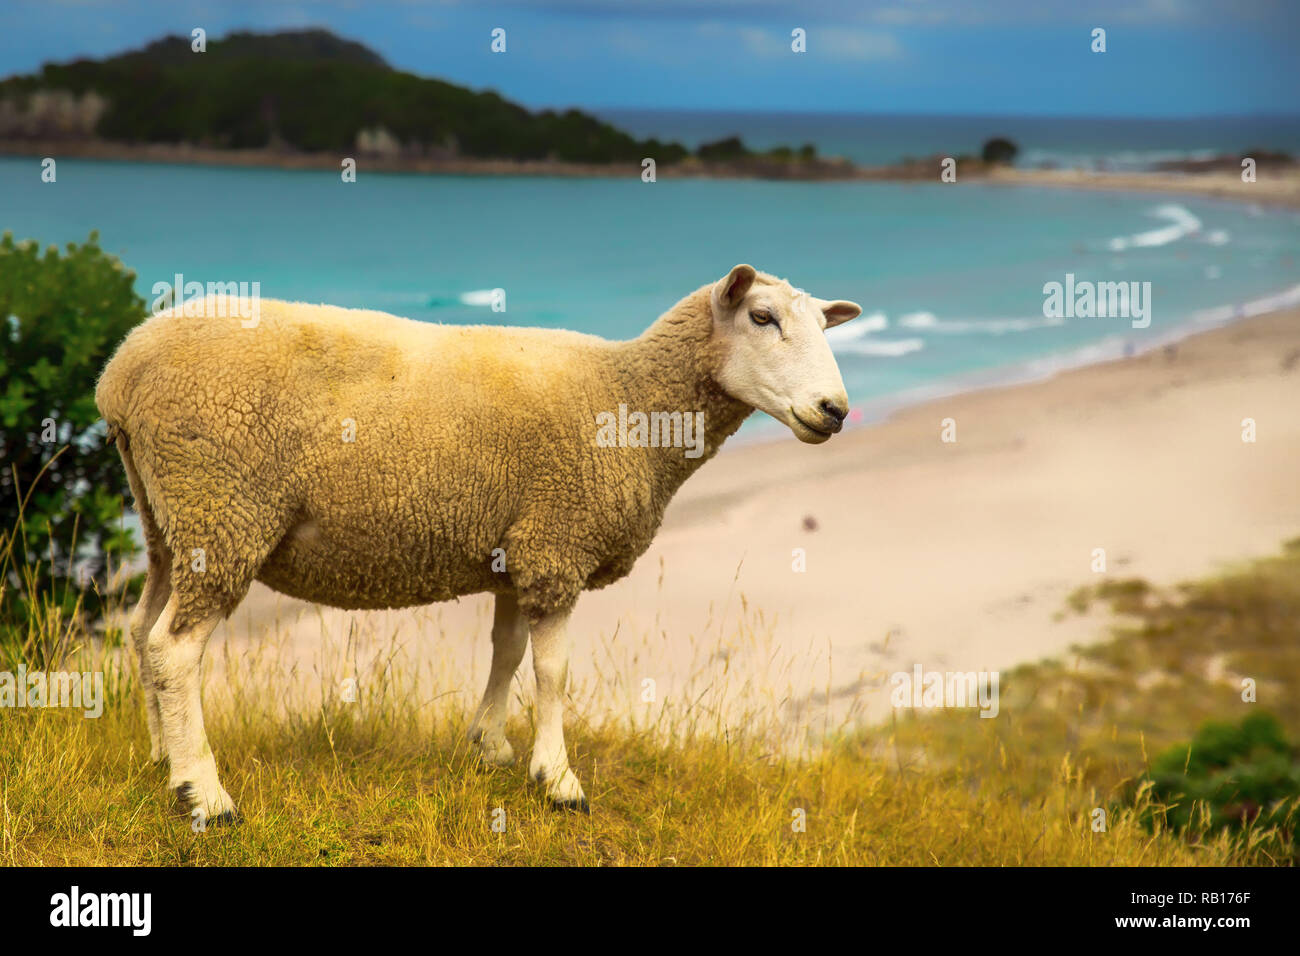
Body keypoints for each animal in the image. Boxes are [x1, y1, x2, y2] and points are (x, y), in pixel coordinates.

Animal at [95, 264, 862, 820]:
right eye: (762, 318)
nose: (835, 411)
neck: (632, 400)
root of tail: (121, 375)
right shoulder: (557, 540)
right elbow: (553, 671)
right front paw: (558, 779)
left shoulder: (517, 548)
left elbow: (507, 651)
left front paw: (488, 745)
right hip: (223, 508)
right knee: (176, 649)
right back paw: (204, 793)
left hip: (168, 521)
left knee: (142, 634)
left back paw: (164, 761)